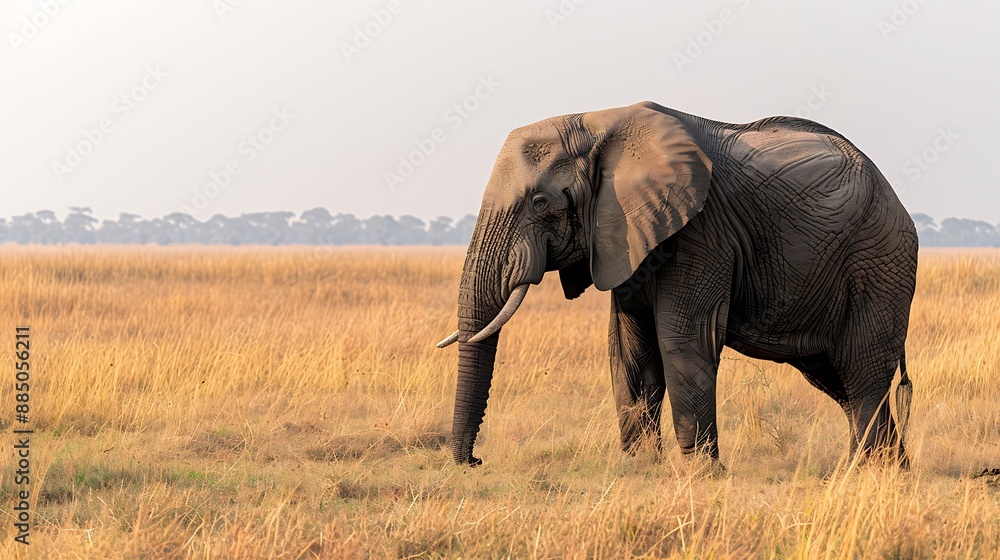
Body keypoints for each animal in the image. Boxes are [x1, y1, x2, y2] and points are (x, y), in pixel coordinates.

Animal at [436, 101, 917, 468]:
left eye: (539, 202)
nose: (475, 461)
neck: (596, 122)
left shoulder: (699, 232)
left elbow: (683, 339)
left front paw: (699, 474)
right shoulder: (628, 236)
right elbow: (628, 346)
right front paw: (640, 467)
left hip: (879, 262)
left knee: (861, 370)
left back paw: (864, 473)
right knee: (836, 376)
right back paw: (891, 470)